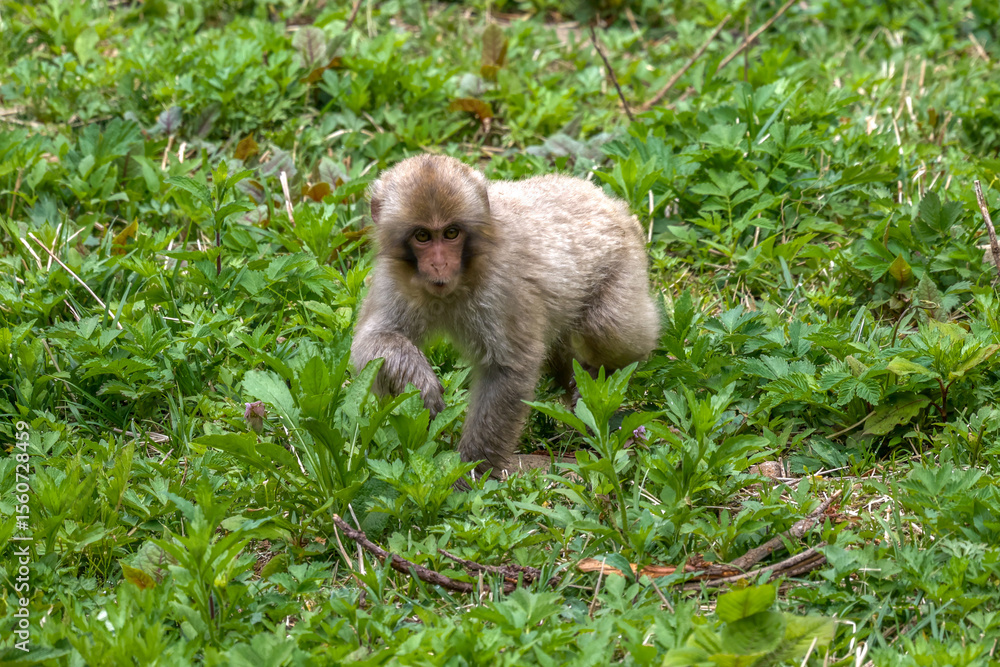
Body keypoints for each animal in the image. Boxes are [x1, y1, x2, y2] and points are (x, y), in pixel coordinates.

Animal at [350, 154, 659, 479]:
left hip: (624, 263)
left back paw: (600, 387)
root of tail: (613, 203)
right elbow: (371, 341)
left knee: (610, 329)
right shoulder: (393, 278)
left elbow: (510, 368)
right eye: (422, 235)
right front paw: (419, 382)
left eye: (451, 233)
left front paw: (471, 475)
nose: (439, 265)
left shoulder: (501, 283)